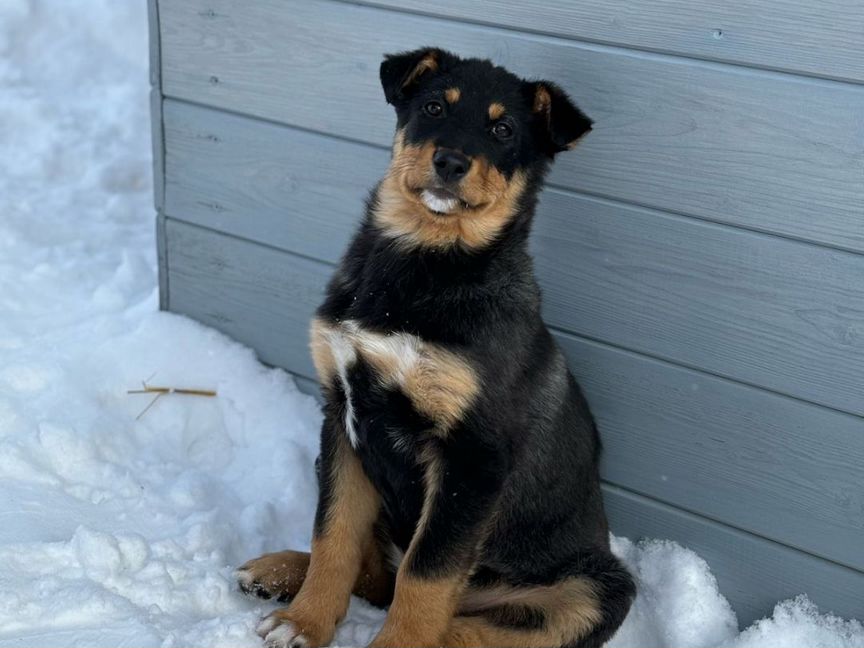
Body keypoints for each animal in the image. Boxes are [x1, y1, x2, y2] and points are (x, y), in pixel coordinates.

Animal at [236, 46, 636, 648]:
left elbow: (425, 574)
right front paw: (304, 621)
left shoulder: (473, 456)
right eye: (433, 107)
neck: (422, 262)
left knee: (476, 623)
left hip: (594, 588)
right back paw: (276, 571)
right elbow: (333, 534)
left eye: (502, 129)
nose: (449, 162)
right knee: (376, 574)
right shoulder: (342, 416)